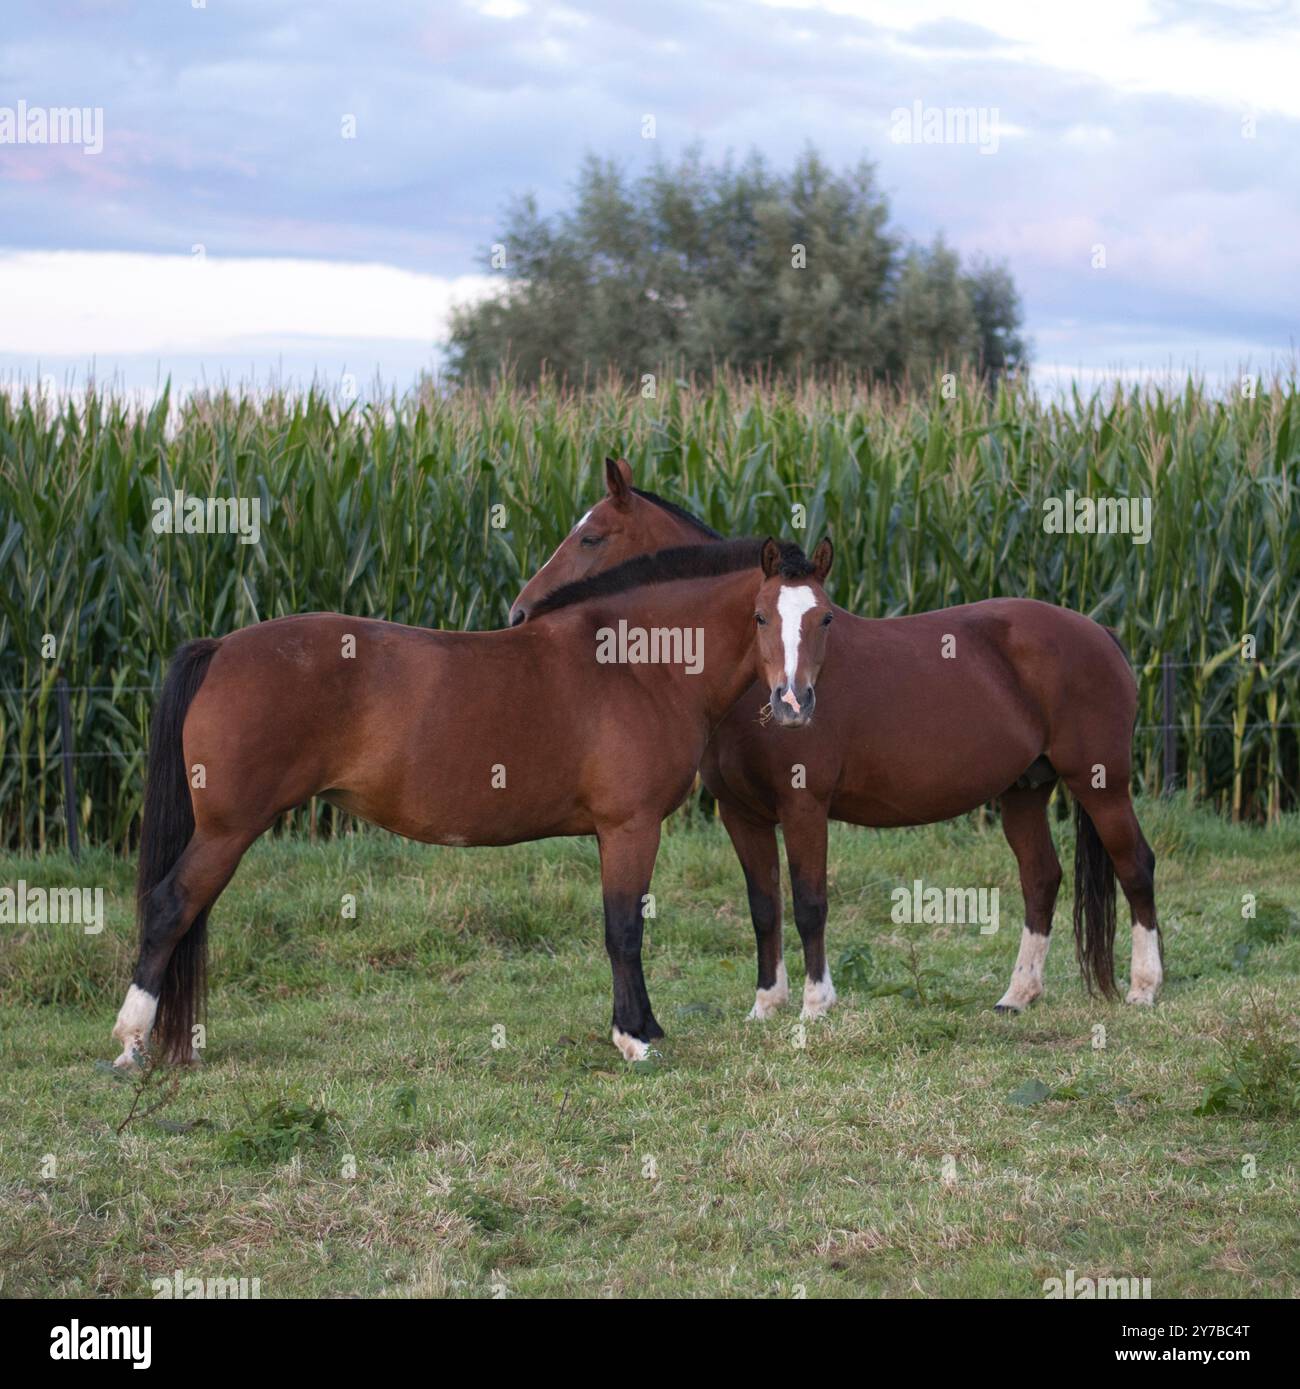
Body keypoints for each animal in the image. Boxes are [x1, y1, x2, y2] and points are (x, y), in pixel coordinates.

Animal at [113, 535, 834, 1069]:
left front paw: (646, 1027)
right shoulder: (628, 827)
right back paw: (131, 1041)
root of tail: (221, 648)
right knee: (170, 905)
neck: (638, 664)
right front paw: (632, 1038)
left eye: (824, 617)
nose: (793, 704)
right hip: (226, 830)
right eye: (762, 616)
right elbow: (623, 930)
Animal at [511, 459, 1162, 1020]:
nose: (519, 613)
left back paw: (1144, 988)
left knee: (1135, 864)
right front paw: (765, 1006)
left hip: (1101, 783)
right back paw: (1017, 996)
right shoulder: (740, 813)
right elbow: (764, 906)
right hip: (1025, 789)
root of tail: (1098, 631)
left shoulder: (805, 806)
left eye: (592, 537)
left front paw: (815, 1005)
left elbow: (809, 904)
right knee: (1041, 878)